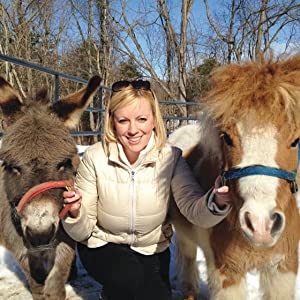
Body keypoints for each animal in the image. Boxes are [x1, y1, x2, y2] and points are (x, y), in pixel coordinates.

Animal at [0, 75, 101, 300]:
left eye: (63, 163)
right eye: (11, 166)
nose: (41, 233)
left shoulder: (63, 233)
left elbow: (56, 282)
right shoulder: (18, 237)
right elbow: (36, 280)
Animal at [169, 54, 300, 300]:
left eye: (296, 140)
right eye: (226, 137)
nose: (260, 225)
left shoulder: (282, 271)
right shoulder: (227, 274)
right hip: (184, 237)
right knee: (188, 261)